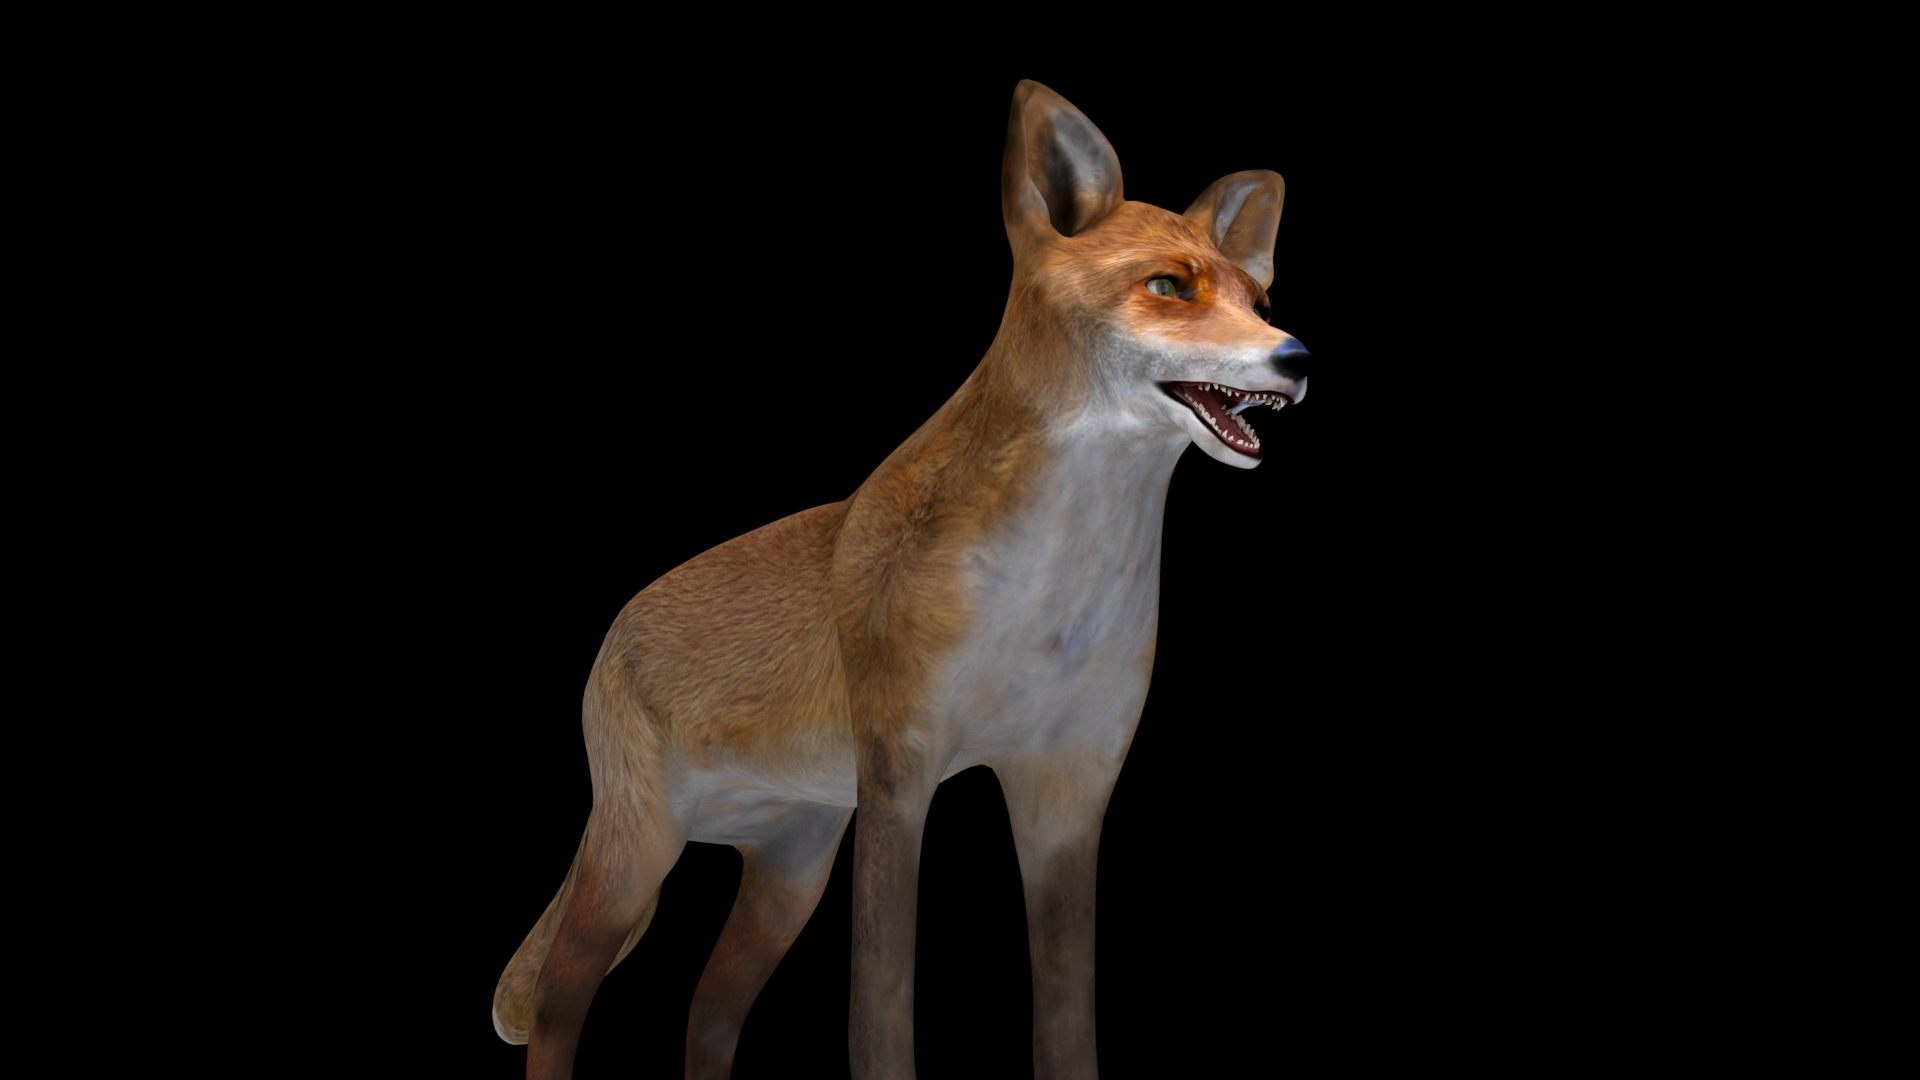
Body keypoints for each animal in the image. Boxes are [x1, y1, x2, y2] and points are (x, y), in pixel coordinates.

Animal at [492, 79, 1313, 1079]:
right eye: (1170, 286)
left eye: (1259, 297)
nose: (1297, 359)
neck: (1052, 606)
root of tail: (614, 631)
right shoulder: (898, 781)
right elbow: (879, 1017)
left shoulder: (1070, 791)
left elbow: (1067, 1021)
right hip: (635, 860)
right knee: (562, 1006)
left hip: (790, 873)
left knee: (707, 1015)